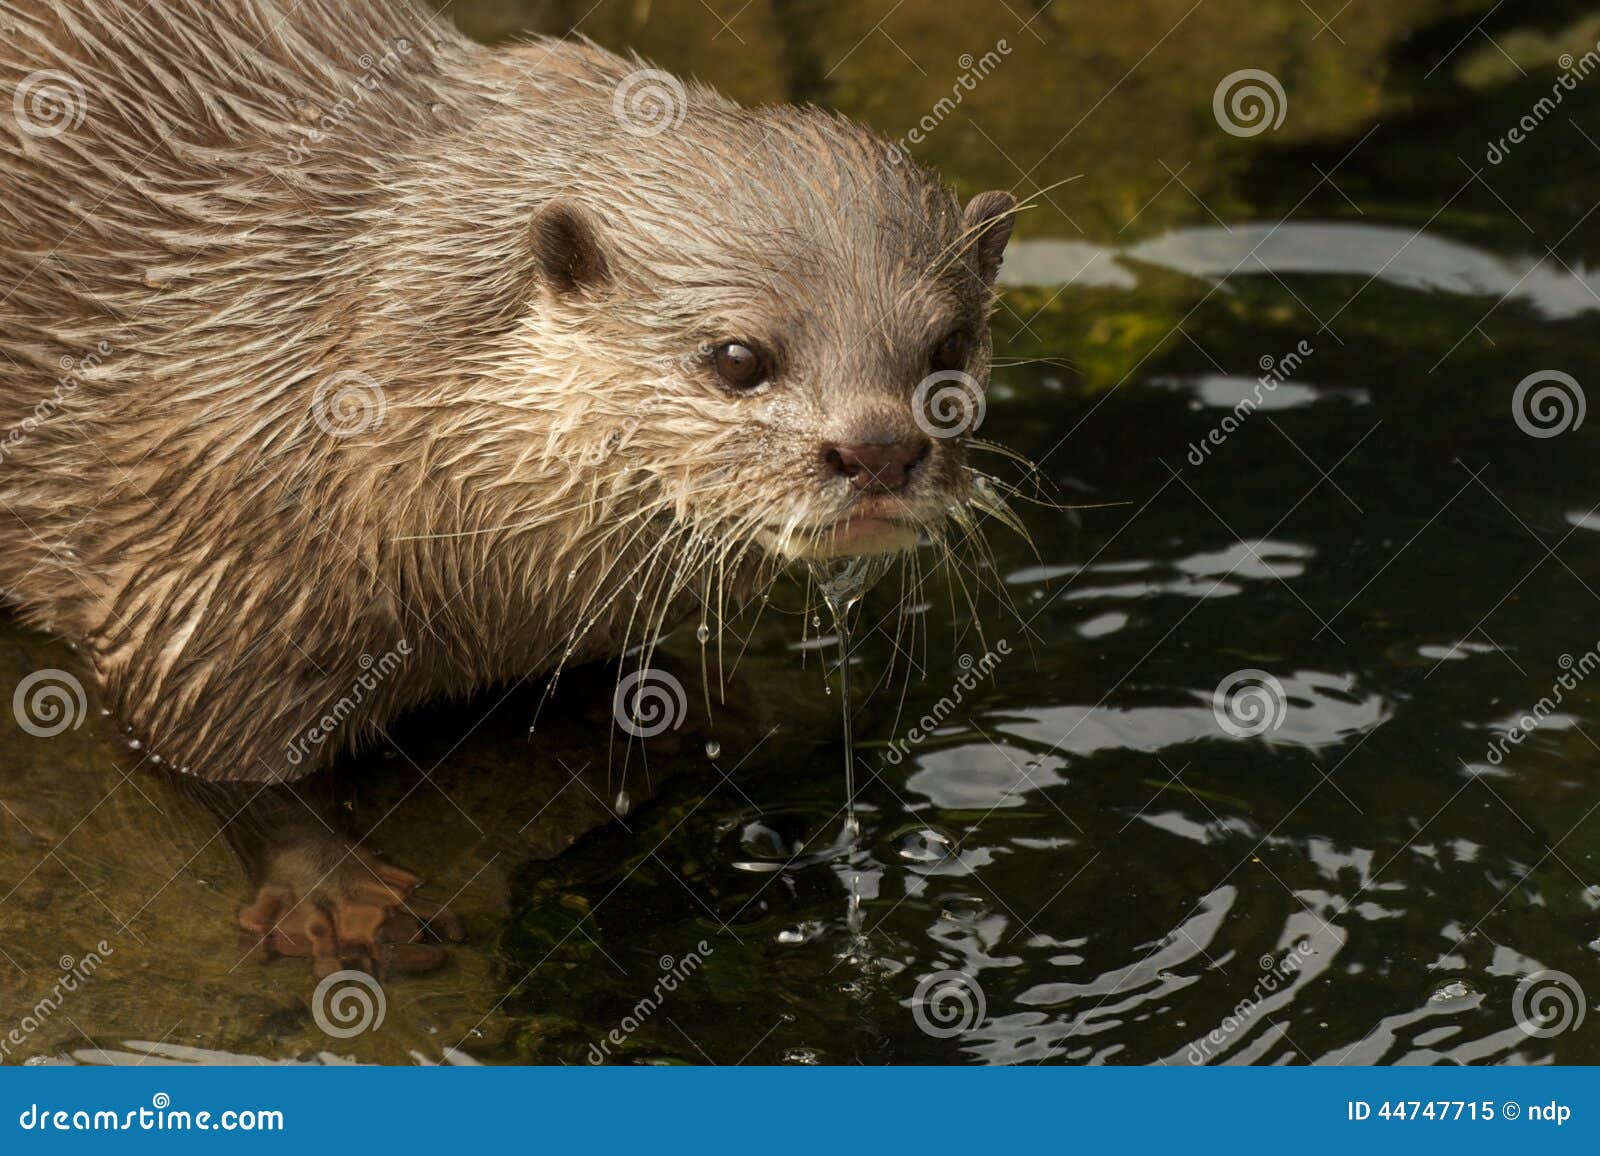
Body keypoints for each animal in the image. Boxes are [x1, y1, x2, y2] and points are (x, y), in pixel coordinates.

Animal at [0, 0, 1017, 975]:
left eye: (947, 347)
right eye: (738, 357)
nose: (879, 450)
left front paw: (691, 698)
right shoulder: (215, 558)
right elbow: (218, 751)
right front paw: (334, 894)